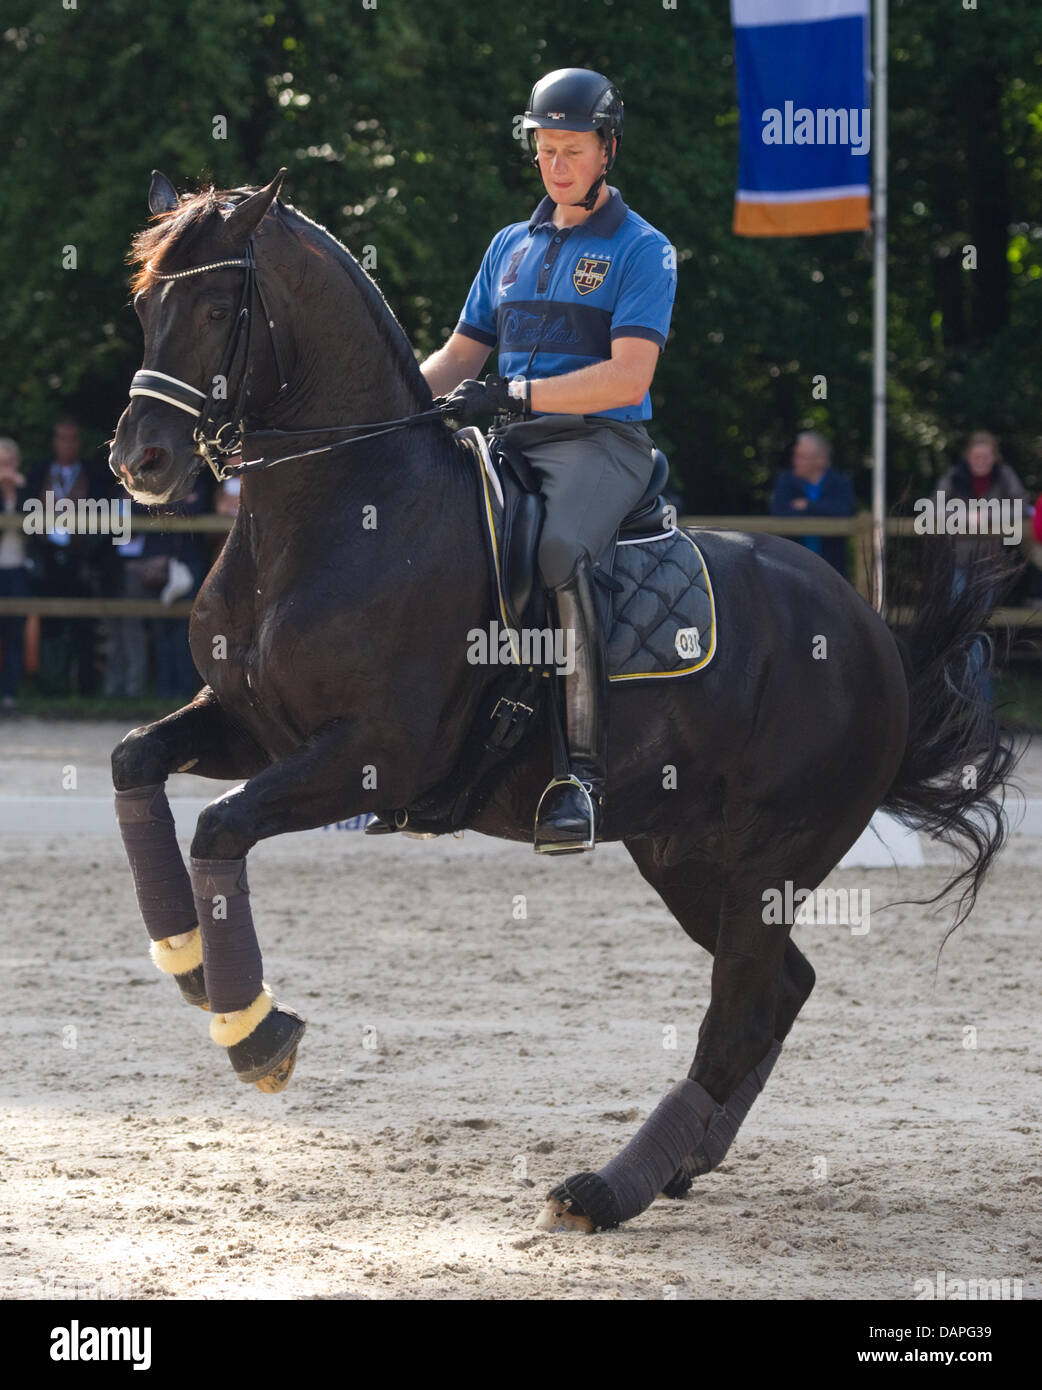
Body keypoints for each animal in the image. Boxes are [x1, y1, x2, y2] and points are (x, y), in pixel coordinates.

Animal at [108, 168, 1017, 1233]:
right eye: (144, 307)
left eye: (218, 308)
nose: (139, 462)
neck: (342, 511)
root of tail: (870, 633)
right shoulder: (255, 726)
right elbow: (136, 761)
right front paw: (186, 959)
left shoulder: (371, 756)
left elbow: (219, 824)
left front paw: (254, 1028)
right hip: (683, 852)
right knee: (781, 990)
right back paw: (678, 1164)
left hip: (768, 855)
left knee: (742, 1010)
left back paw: (604, 1190)